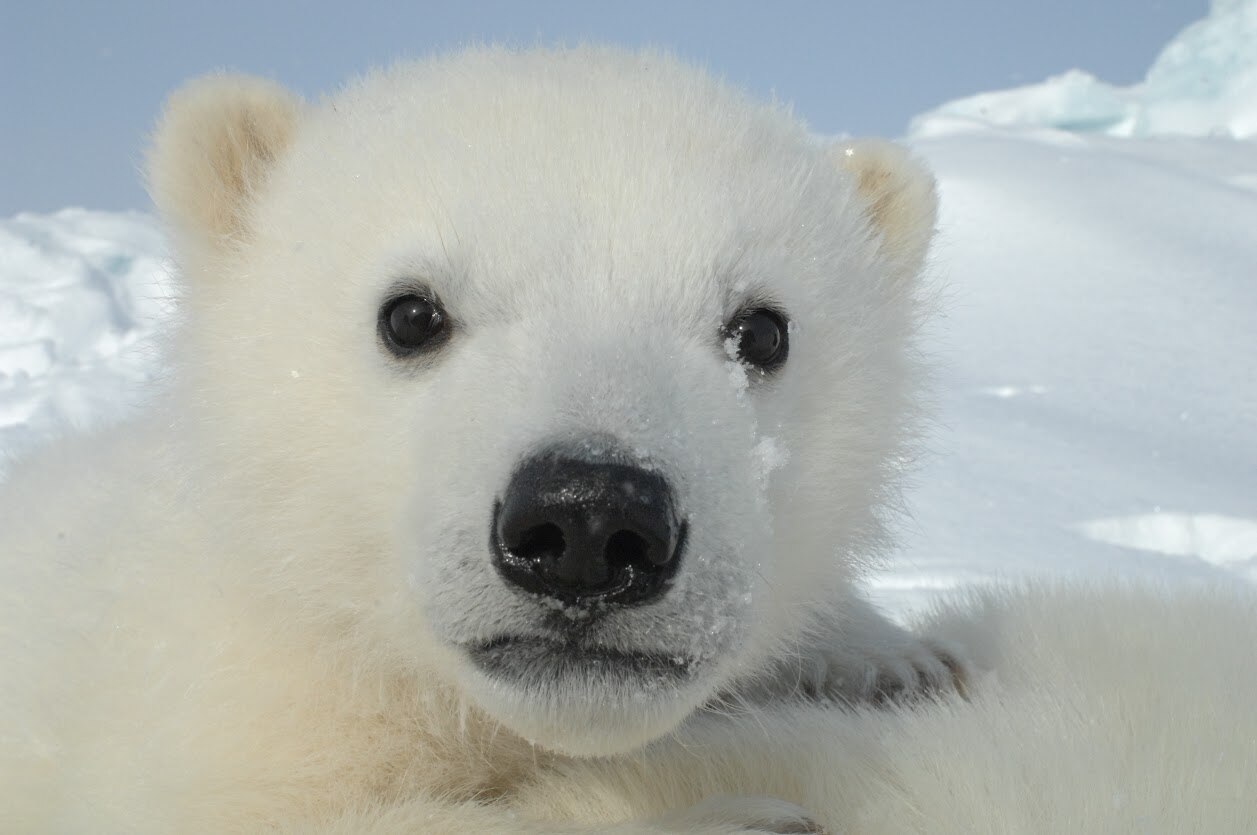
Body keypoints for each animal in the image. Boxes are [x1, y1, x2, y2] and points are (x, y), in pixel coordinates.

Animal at [0, 45, 966, 832]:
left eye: (763, 330)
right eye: (409, 313)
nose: (588, 521)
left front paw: (896, 656)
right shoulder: (193, 721)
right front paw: (728, 816)